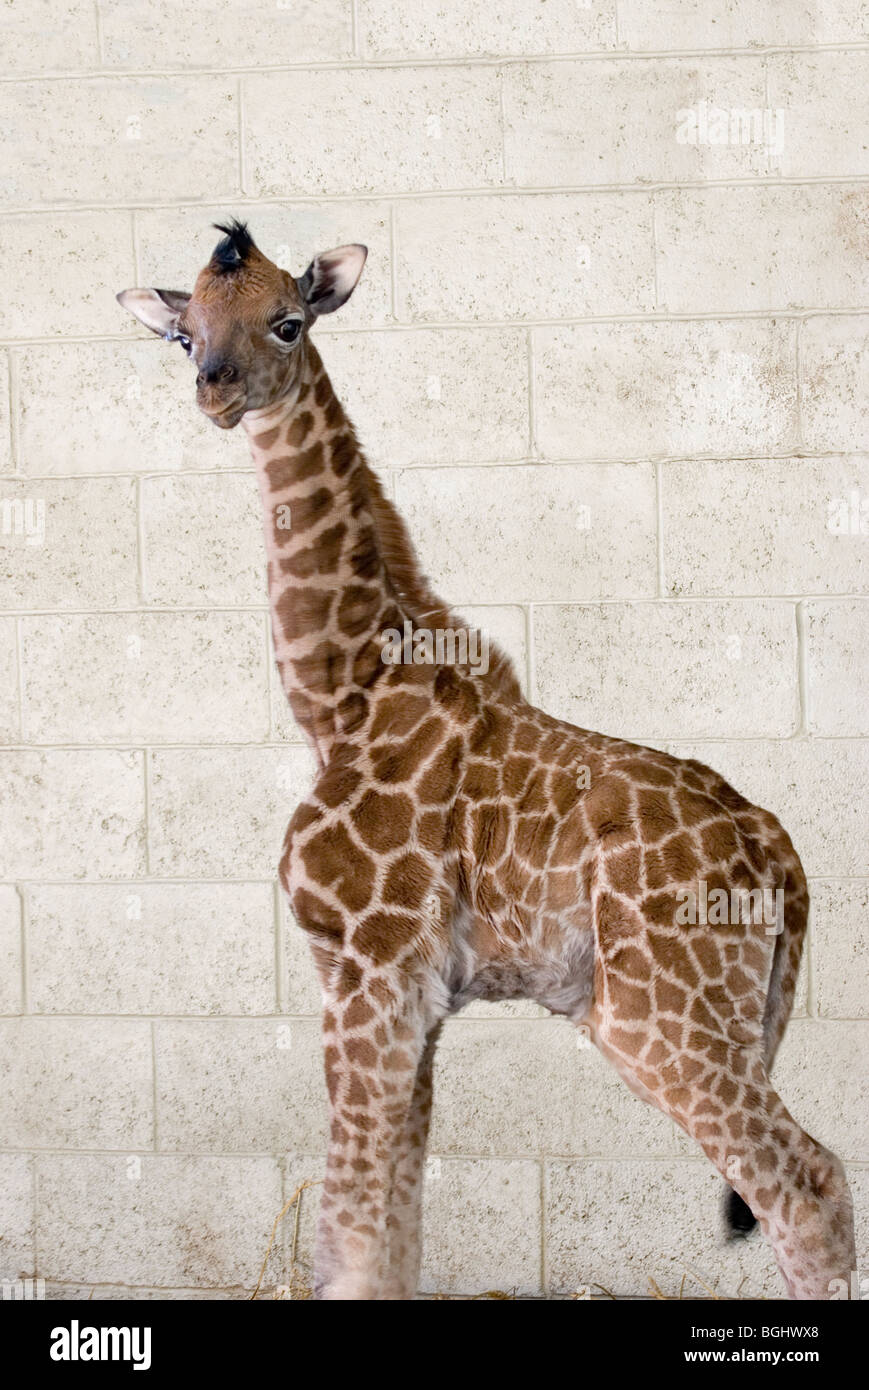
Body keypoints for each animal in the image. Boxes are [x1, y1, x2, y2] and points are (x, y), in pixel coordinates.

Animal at [118, 219, 855, 1301]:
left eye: (287, 320)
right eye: (183, 334)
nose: (215, 390)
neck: (339, 696)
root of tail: (777, 852)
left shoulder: (367, 968)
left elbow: (347, 1225)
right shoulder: (415, 1000)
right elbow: (393, 1221)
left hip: (657, 1014)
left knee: (805, 1186)